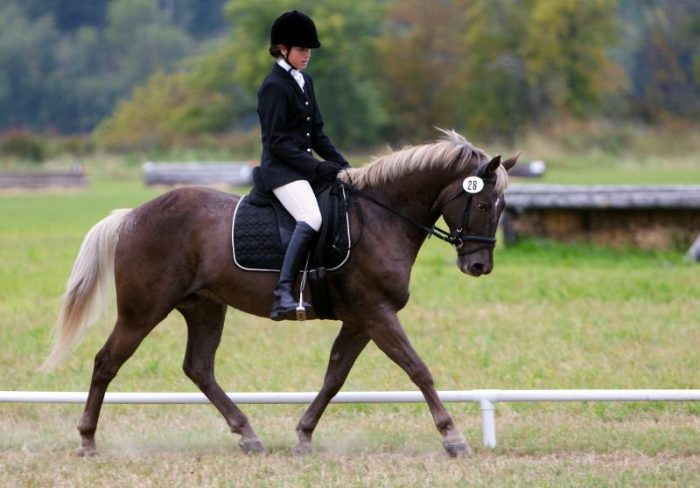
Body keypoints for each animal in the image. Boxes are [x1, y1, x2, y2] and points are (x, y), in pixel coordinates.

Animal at [41, 130, 518, 458]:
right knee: (107, 362)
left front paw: (304, 435)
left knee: (199, 368)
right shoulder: (376, 313)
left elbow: (334, 376)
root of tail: (132, 216)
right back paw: (87, 440)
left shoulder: (361, 319)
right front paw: (453, 438)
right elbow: (418, 370)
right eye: (481, 204)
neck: (381, 217)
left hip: (204, 308)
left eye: (501, 208)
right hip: (143, 310)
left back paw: (248, 434)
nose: (479, 266)